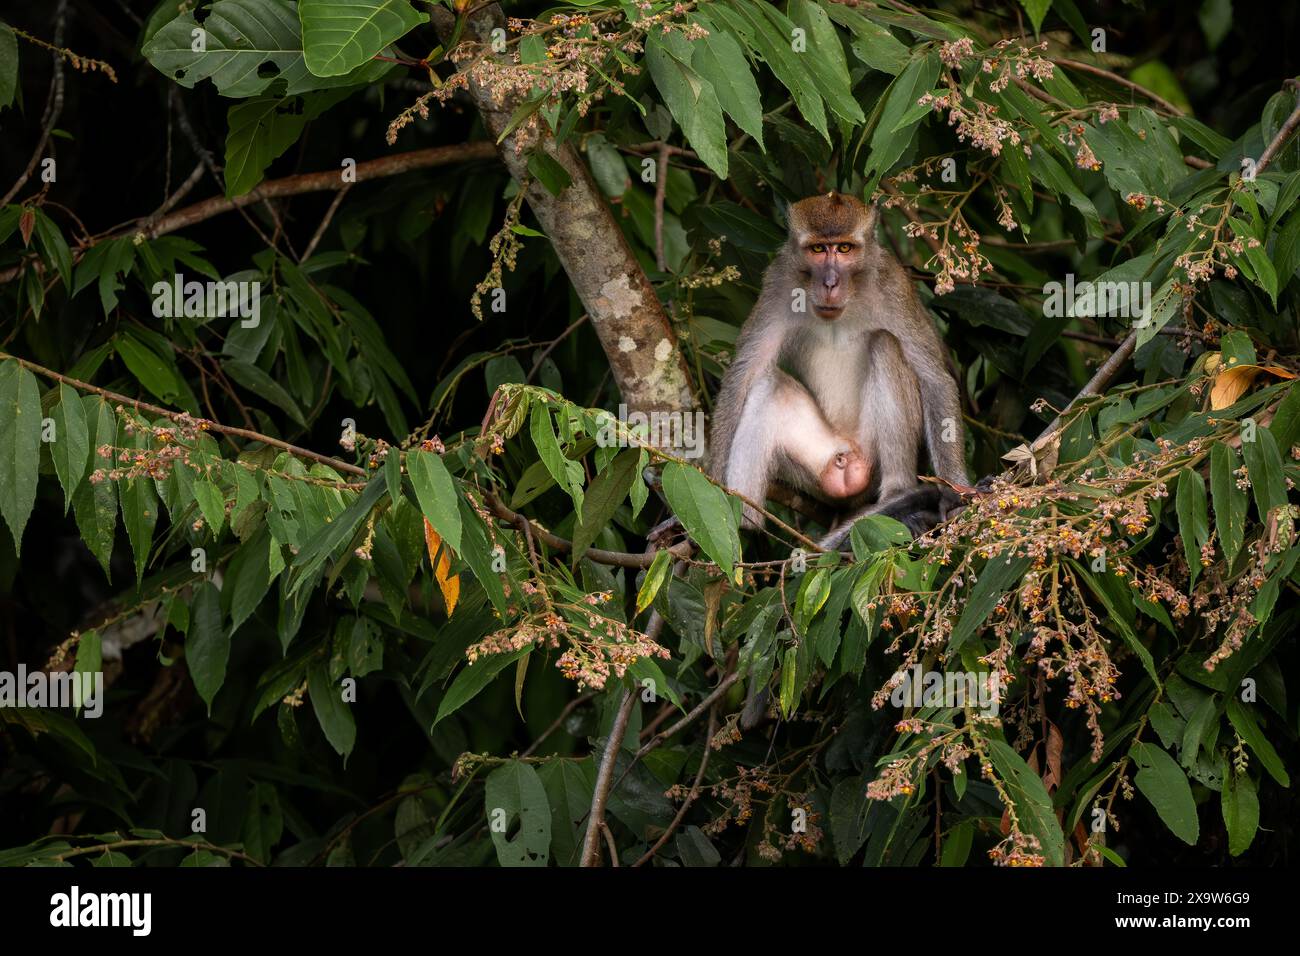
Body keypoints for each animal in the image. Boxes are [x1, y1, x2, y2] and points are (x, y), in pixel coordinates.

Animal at [708, 191, 970, 551]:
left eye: (844, 249)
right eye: (819, 249)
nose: (830, 282)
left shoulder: (892, 283)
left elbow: (934, 377)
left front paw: (956, 491)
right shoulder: (779, 282)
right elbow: (745, 372)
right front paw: (715, 494)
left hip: (870, 462)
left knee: (886, 344)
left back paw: (899, 497)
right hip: (819, 468)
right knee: (767, 385)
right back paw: (745, 521)